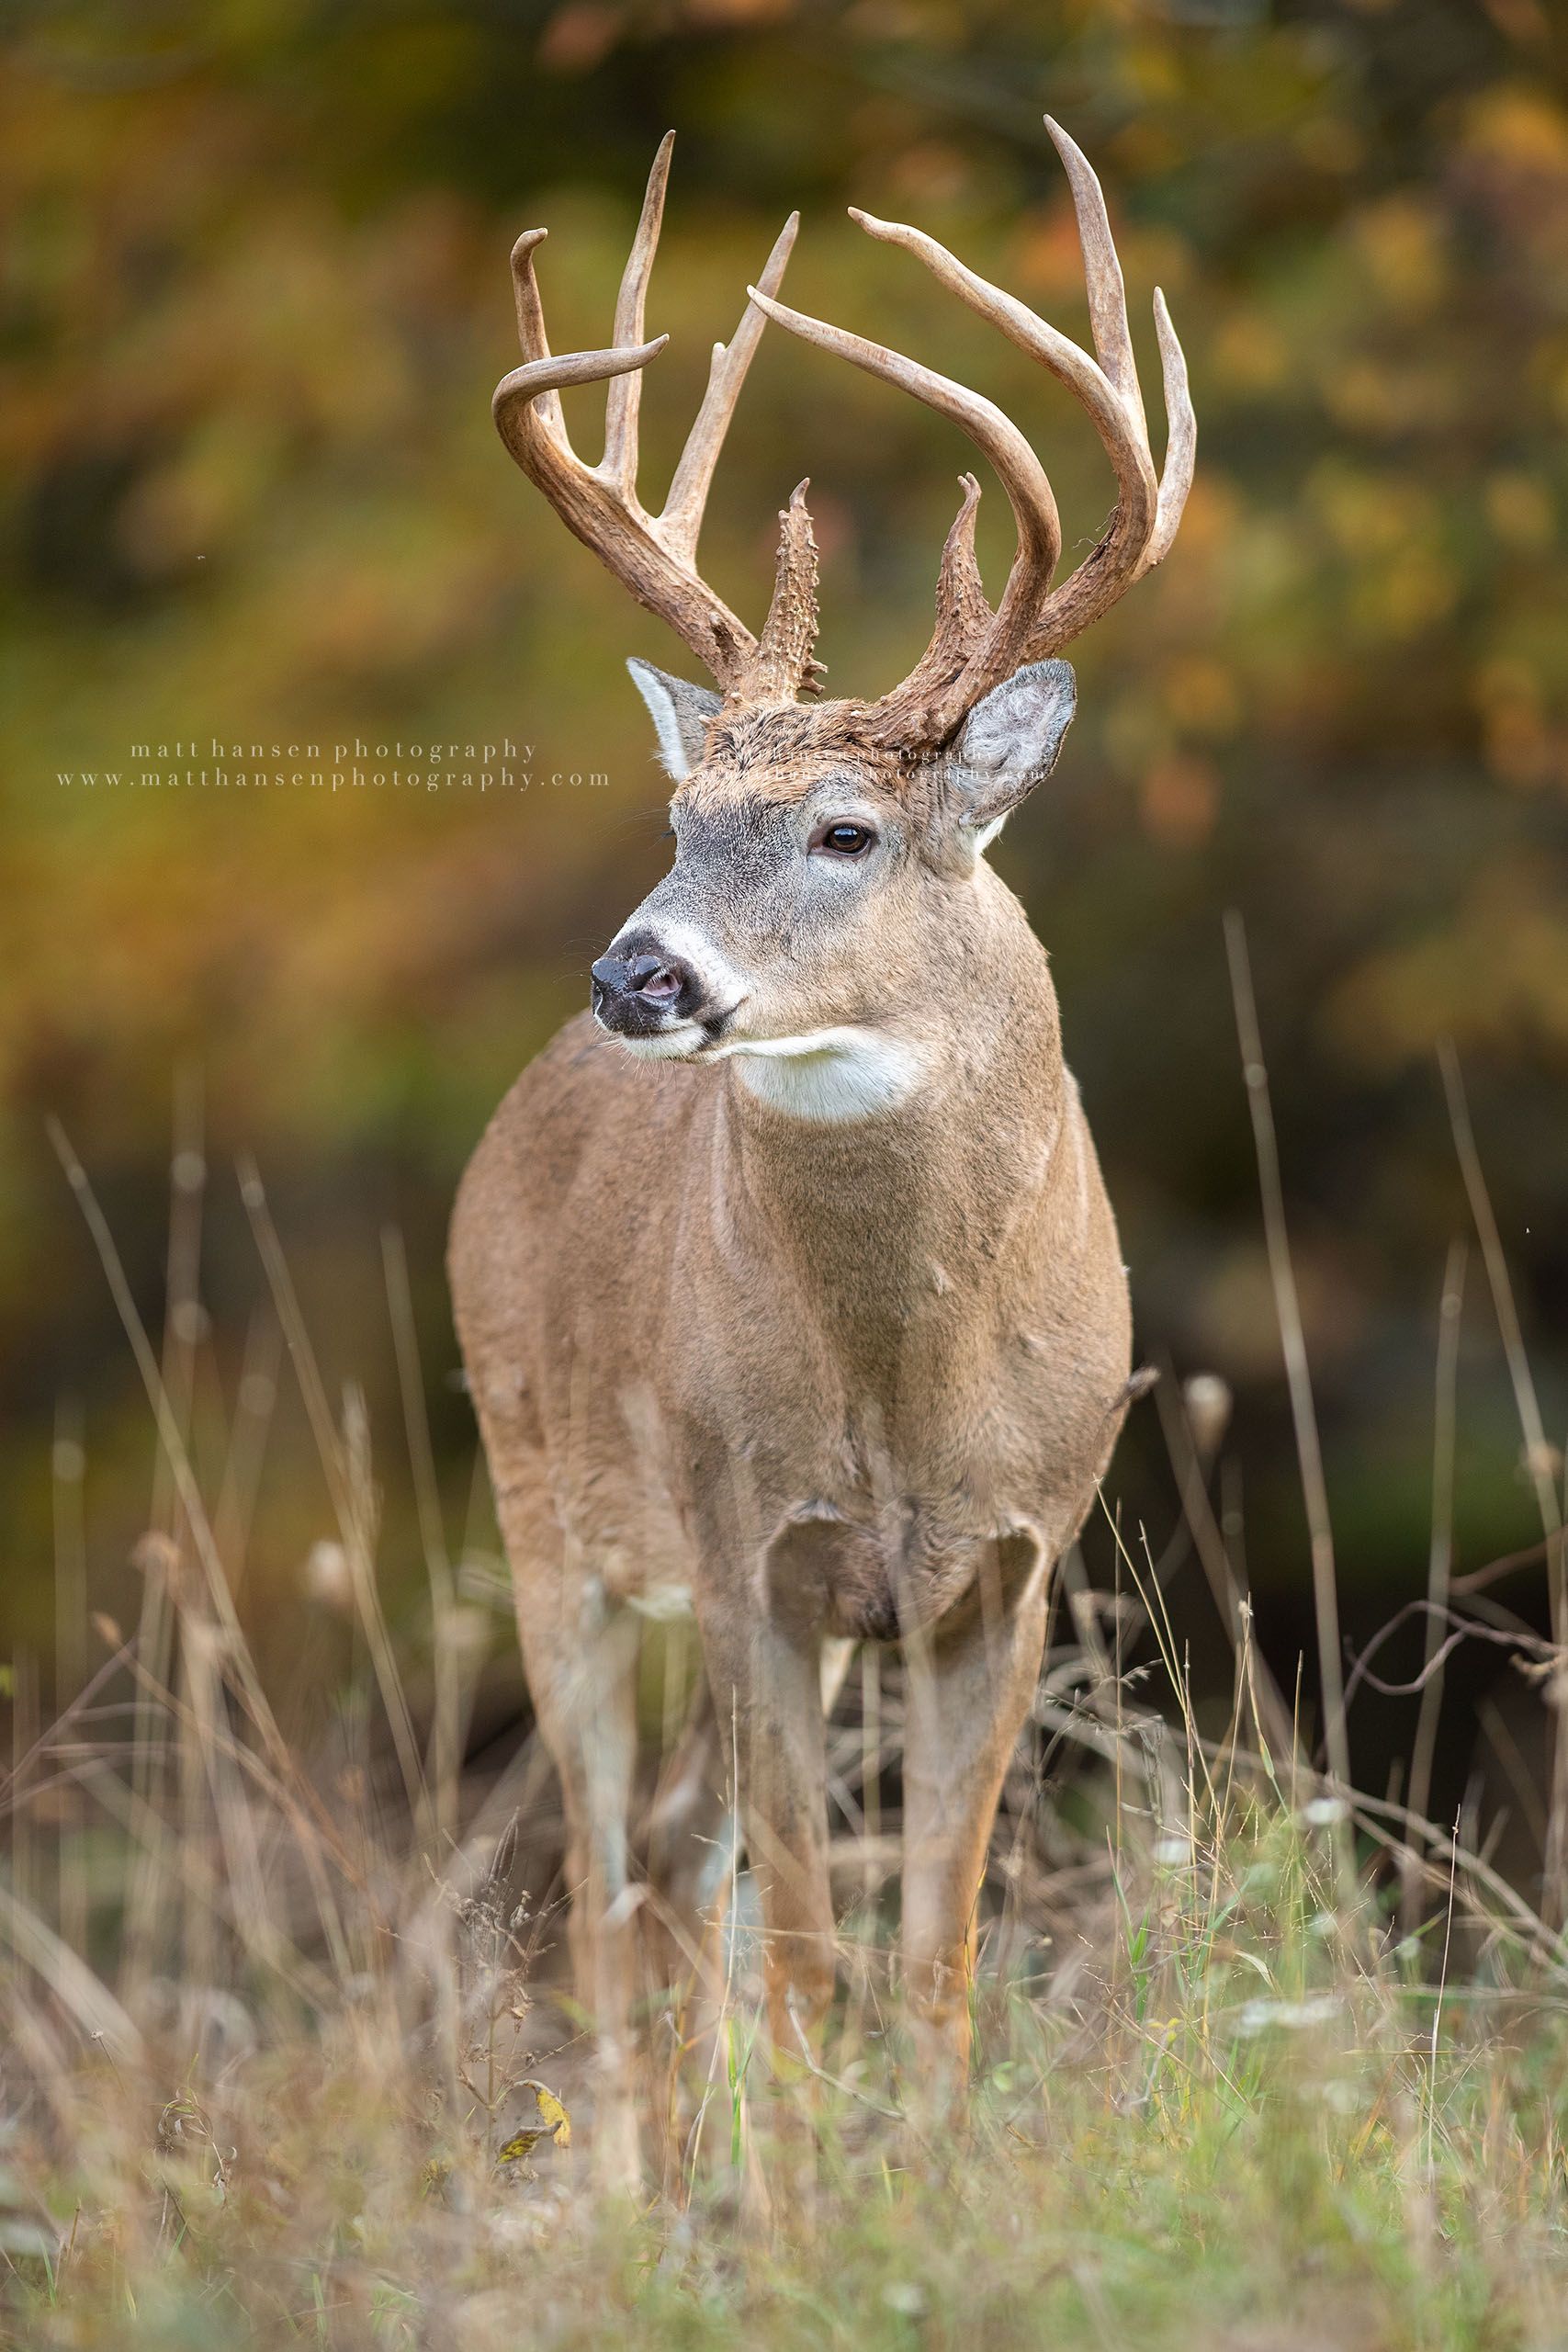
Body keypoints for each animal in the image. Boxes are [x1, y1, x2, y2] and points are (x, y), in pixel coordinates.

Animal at [449, 118, 1195, 2189]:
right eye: (681, 816)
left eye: (845, 829)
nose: (635, 971)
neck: (901, 1380)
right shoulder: (745, 1543)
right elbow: (794, 1947)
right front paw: (800, 2218)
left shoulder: (1006, 1566)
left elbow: (927, 1951)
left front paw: (925, 2196)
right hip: (546, 1507)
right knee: (613, 1886)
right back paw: (641, 2197)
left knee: (665, 1875)